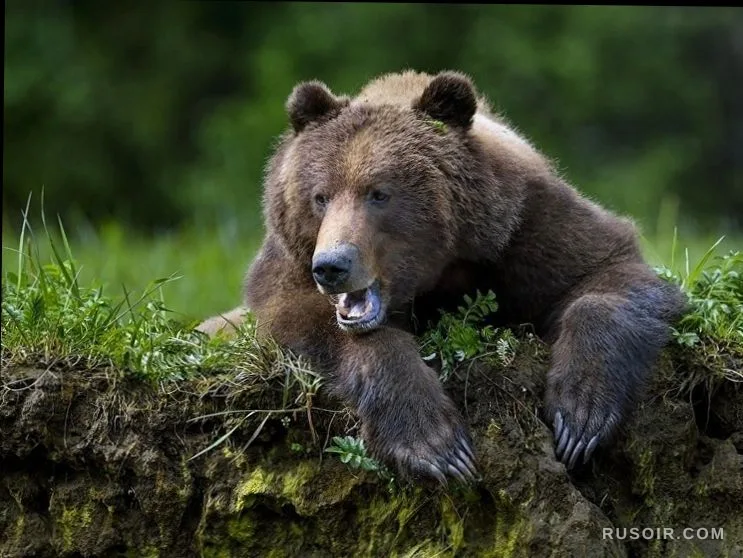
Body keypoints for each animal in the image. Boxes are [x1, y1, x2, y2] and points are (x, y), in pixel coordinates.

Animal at [198, 70, 687, 483]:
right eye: (320, 197)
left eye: (379, 193)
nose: (332, 267)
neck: (439, 271)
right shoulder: (288, 266)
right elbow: (307, 322)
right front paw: (436, 445)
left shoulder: (526, 228)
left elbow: (606, 272)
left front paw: (580, 415)